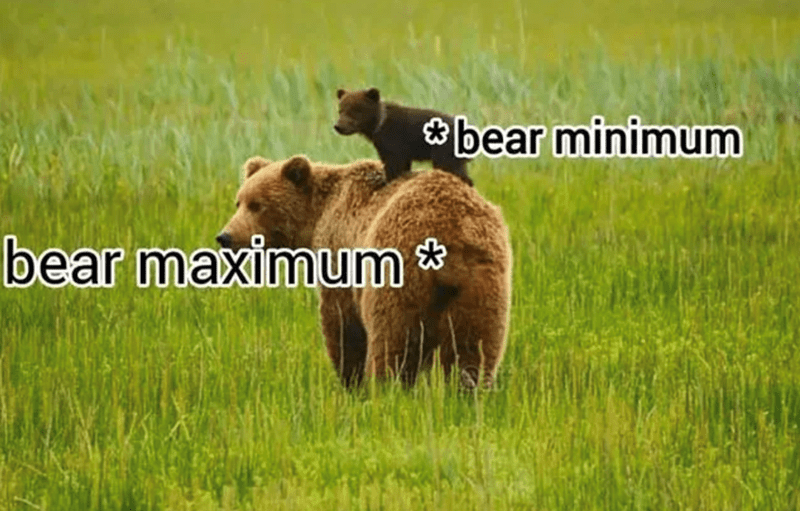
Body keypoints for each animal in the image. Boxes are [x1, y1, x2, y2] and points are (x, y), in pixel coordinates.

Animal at [216, 155, 511, 389]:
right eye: (238, 202)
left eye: (257, 205)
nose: (225, 237)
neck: (317, 218)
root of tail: (449, 233)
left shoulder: (340, 254)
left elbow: (341, 323)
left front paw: (350, 380)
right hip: (482, 281)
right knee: (475, 345)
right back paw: (467, 391)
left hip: (399, 277)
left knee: (393, 338)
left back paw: (386, 389)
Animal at [334, 87, 474, 187]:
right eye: (340, 110)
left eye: (355, 110)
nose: (338, 126)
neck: (377, 126)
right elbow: (403, 166)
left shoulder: (394, 142)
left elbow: (394, 164)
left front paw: (383, 180)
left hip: (444, 149)